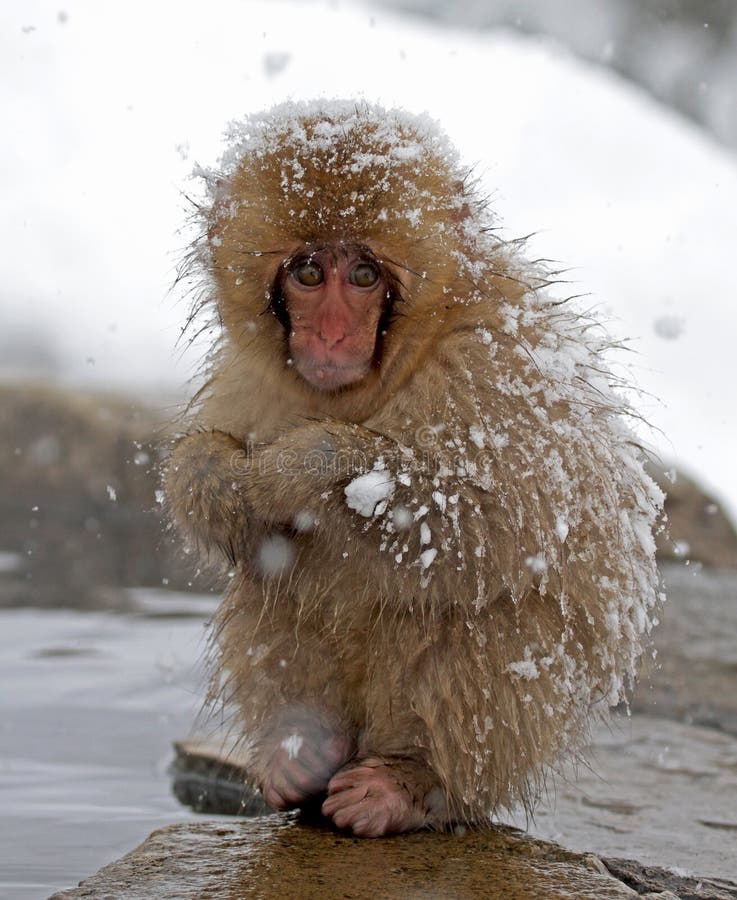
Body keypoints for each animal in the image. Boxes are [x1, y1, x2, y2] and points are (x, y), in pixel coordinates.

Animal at [165, 100, 663, 838]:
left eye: (363, 277)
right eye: (308, 273)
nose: (332, 333)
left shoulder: (495, 360)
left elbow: (499, 517)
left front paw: (301, 465)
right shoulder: (247, 377)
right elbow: (220, 493)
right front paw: (213, 477)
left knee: (462, 599)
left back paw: (412, 784)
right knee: (272, 575)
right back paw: (302, 752)